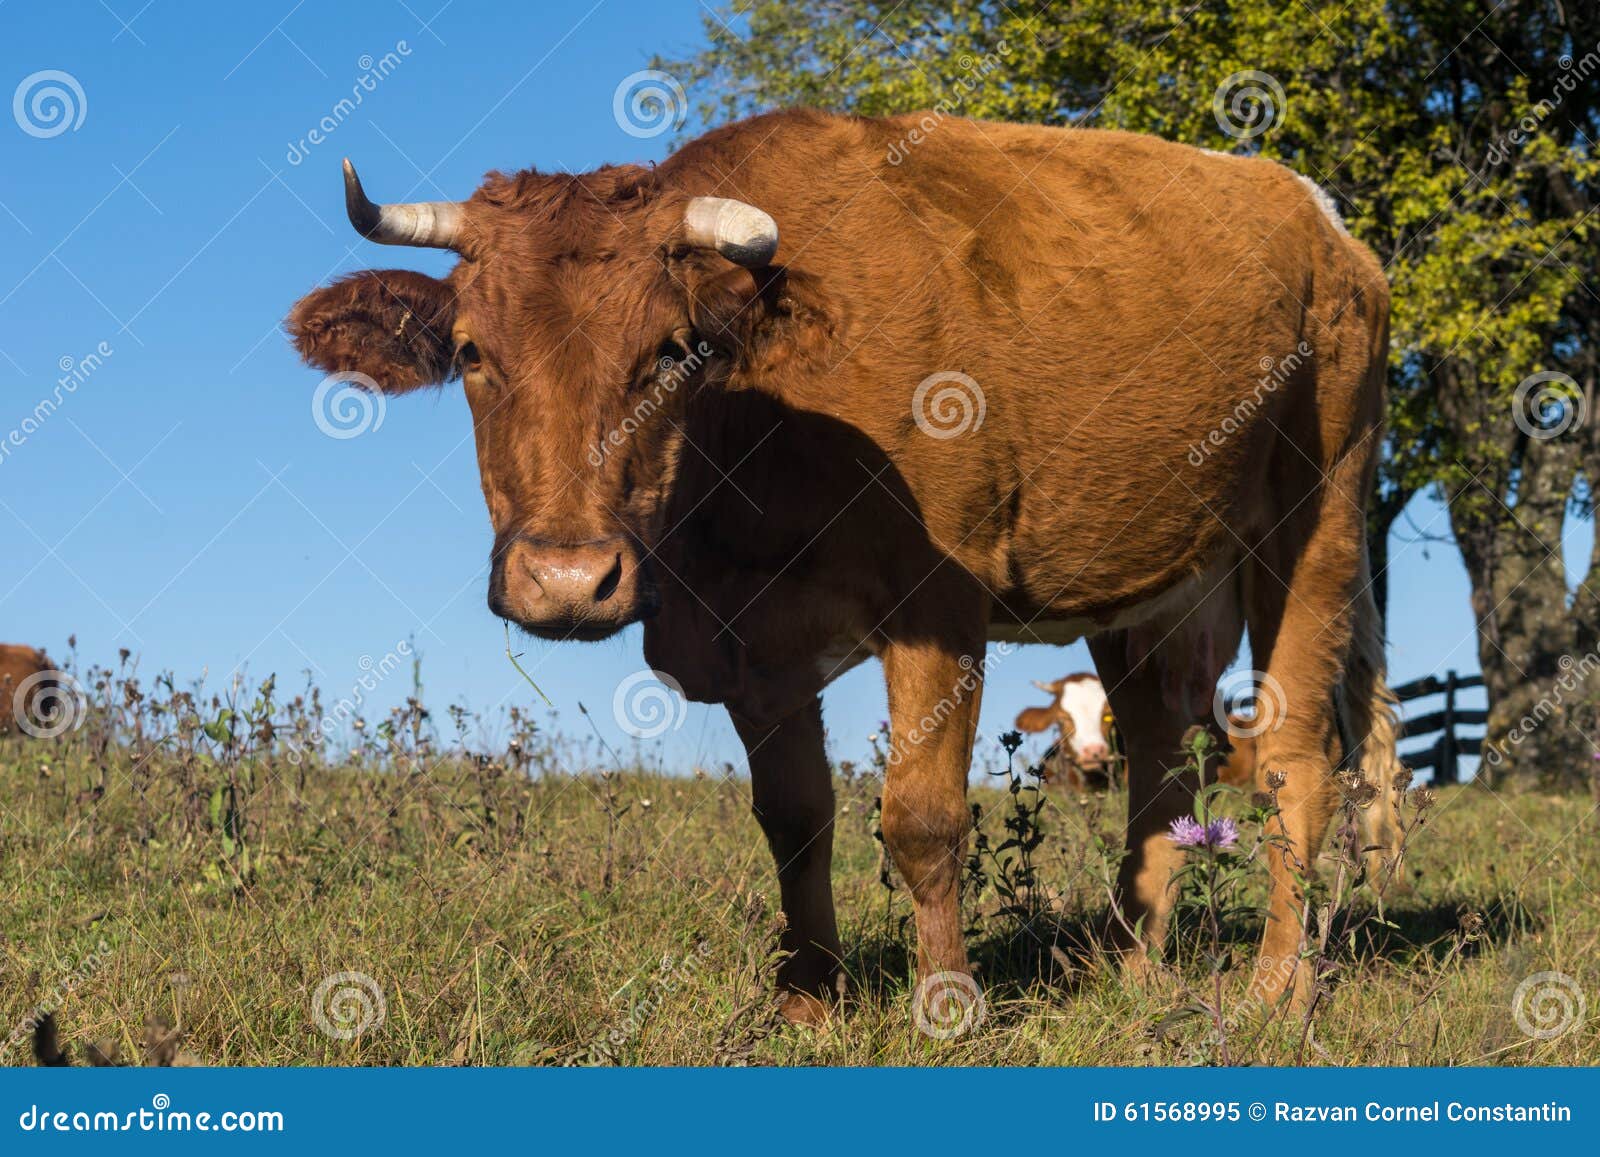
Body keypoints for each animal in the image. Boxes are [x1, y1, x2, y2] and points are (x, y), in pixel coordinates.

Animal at [285, 108, 1404, 1025]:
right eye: (473, 351)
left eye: (672, 351)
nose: (566, 580)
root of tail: (1318, 218)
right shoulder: (756, 647)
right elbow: (794, 816)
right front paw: (806, 998)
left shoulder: (939, 607)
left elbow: (921, 816)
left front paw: (948, 1004)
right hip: (1149, 590)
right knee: (1163, 764)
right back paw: (1134, 971)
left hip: (1317, 512)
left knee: (1295, 762)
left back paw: (1275, 988)